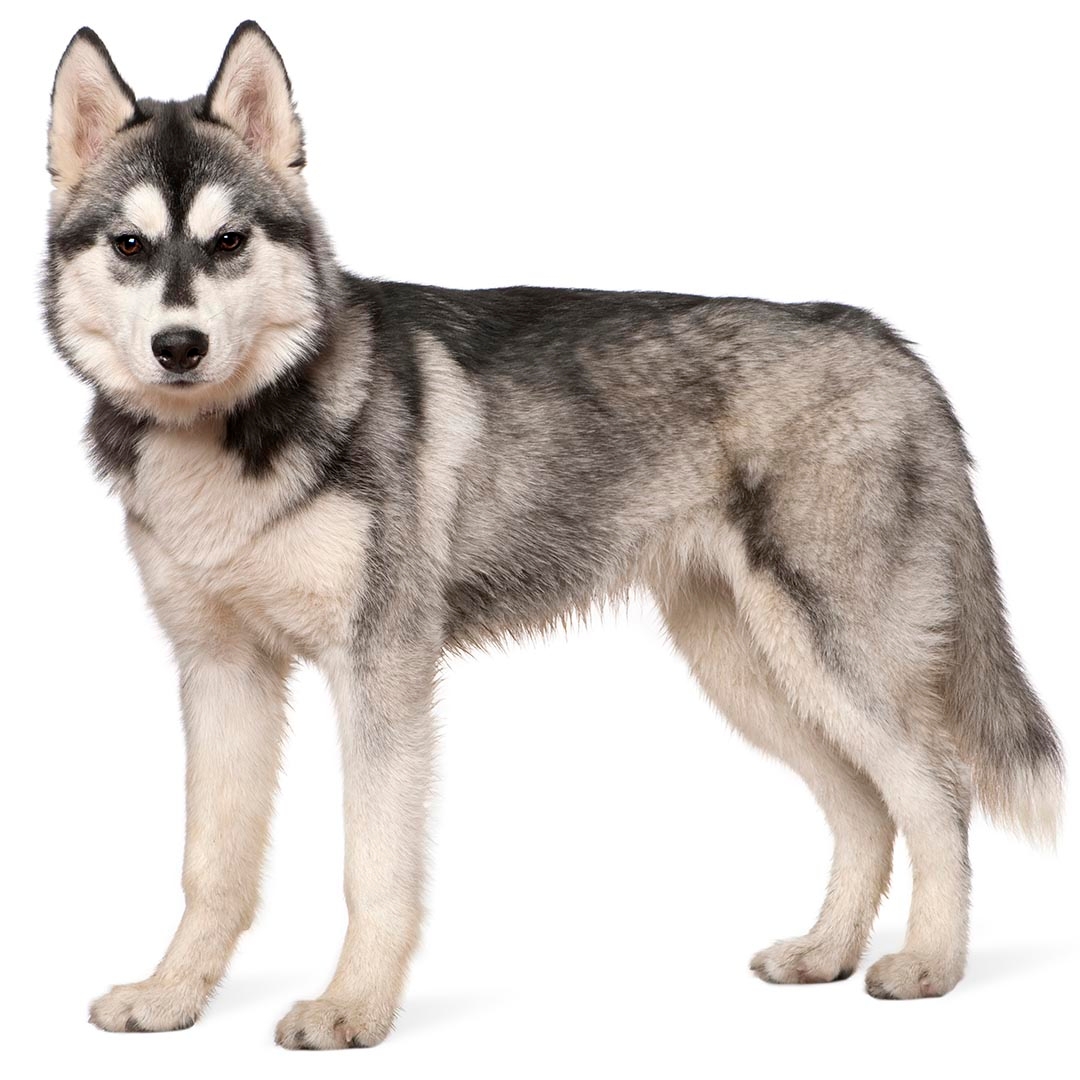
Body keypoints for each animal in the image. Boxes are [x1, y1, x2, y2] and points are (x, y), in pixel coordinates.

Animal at [43, 20, 1063, 1049]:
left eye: (229, 242)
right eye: (130, 244)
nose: (180, 346)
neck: (233, 438)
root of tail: (894, 346)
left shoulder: (381, 668)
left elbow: (374, 868)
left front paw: (353, 1008)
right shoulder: (221, 672)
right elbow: (210, 865)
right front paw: (173, 994)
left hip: (833, 653)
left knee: (937, 791)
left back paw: (930, 963)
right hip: (750, 668)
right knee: (864, 809)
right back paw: (825, 952)